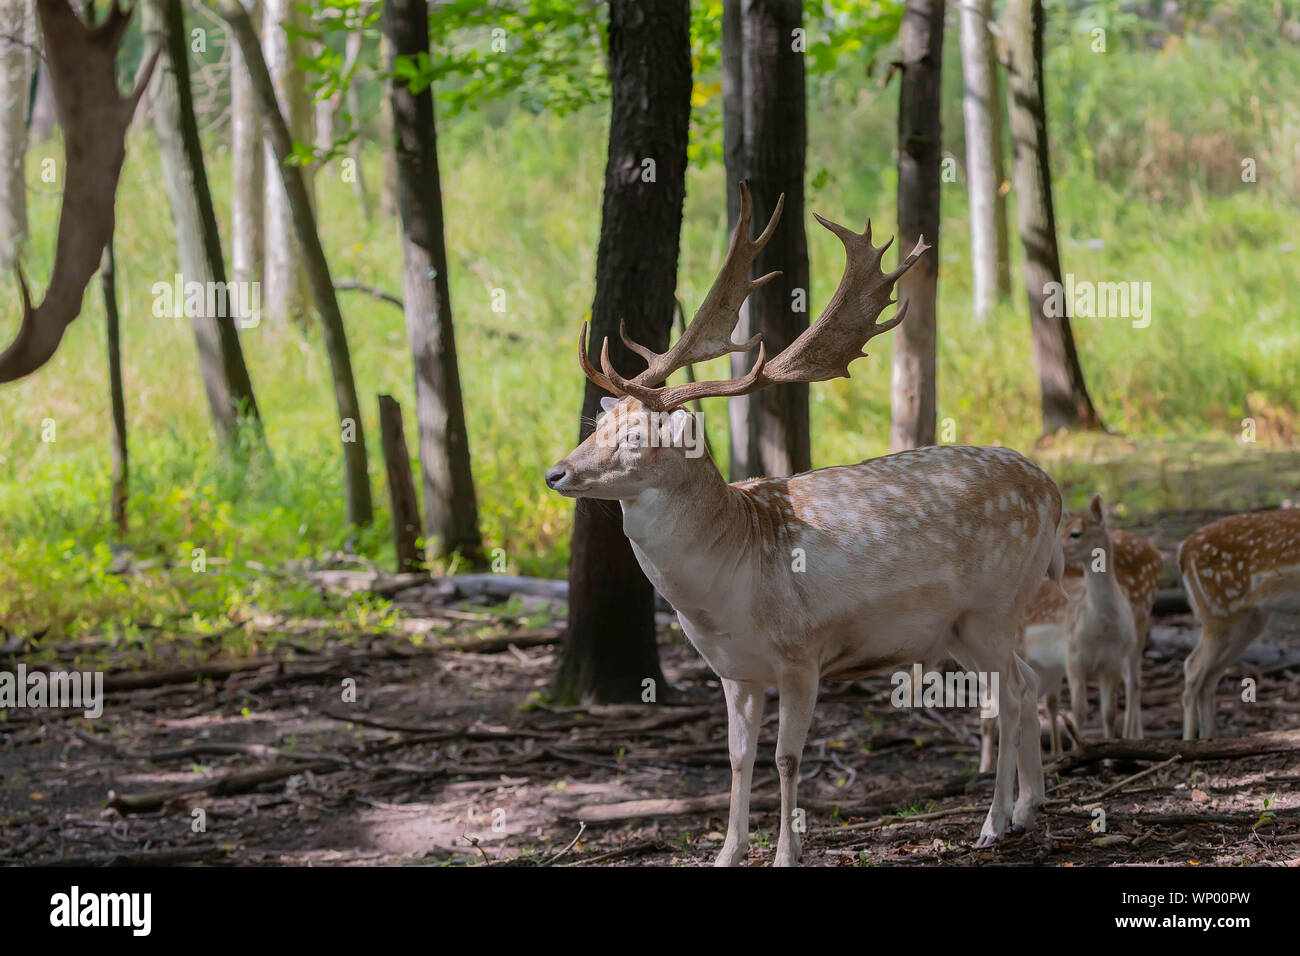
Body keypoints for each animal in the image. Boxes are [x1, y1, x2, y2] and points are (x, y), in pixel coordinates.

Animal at [546, 183, 1065, 865]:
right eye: (597, 424)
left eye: (635, 436)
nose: (555, 472)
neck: (725, 590)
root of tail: (1052, 489)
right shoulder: (734, 671)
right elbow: (737, 760)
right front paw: (727, 853)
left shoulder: (802, 654)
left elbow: (786, 759)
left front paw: (787, 853)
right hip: (960, 627)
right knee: (1026, 684)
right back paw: (1030, 808)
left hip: (993, 605)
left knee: (1007, 695)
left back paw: (994, 822)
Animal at [1179, 508, 1300, 740]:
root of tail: (1183, 551)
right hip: (1220, 613)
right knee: (1193, 666)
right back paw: (1189, 743)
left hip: (1249, 621)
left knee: (1210, 675)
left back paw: (1209, 739)